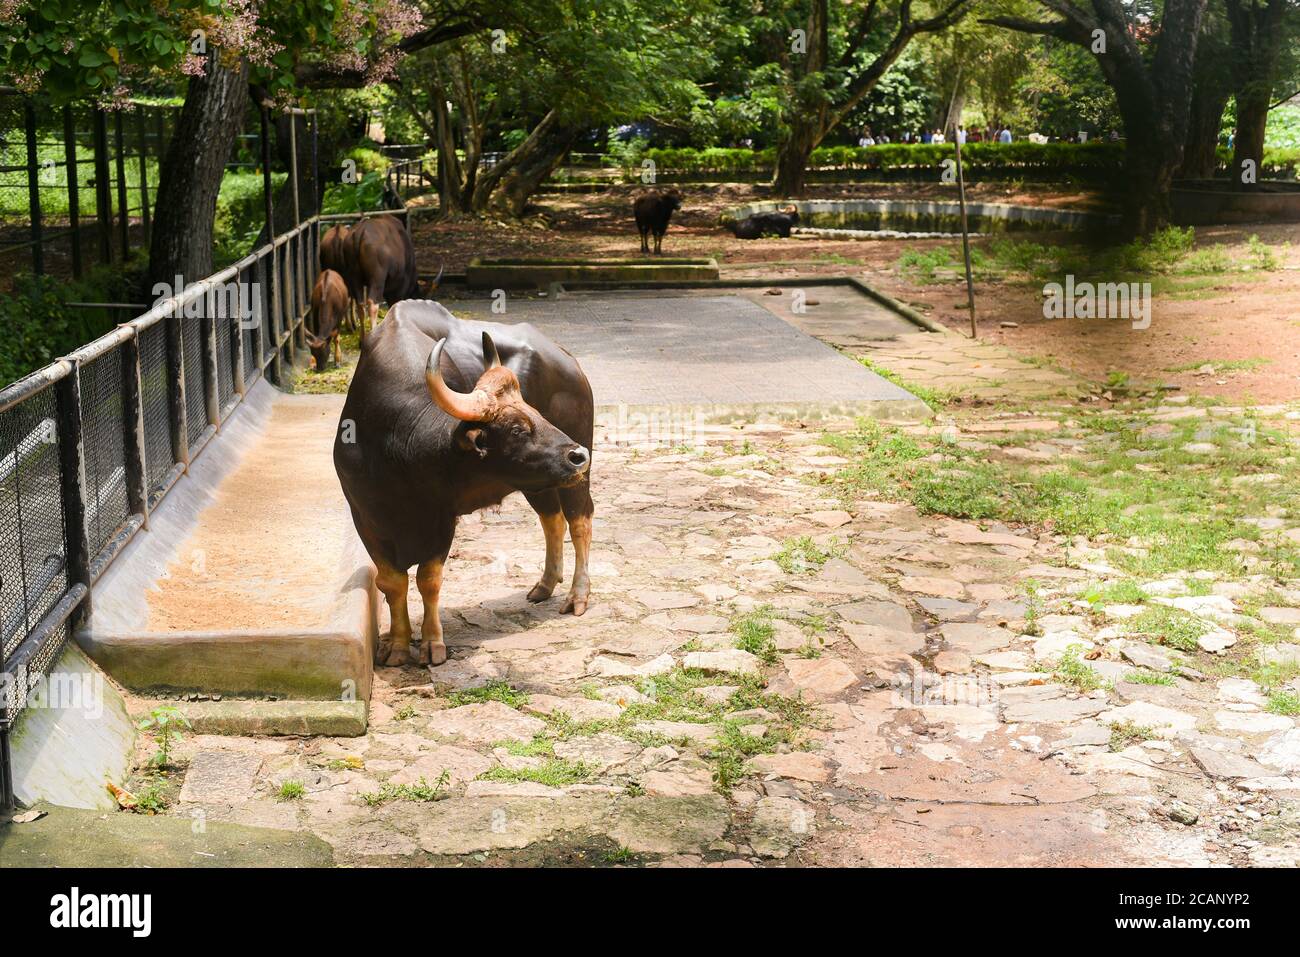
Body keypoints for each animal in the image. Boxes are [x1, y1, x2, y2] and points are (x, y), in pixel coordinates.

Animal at [334, 300, 594, 667]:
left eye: (536, 414)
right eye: (517, 428)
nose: (578, 455)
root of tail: (566, 359)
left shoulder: (442, 520)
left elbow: (428, 580)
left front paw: (432, 644)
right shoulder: (365, 517)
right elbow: (392, 582)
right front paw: (397, 643)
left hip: (574, 478)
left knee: (579, 521)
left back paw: (577, 595)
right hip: (536, 481)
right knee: (551, 518)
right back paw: (544, 584)